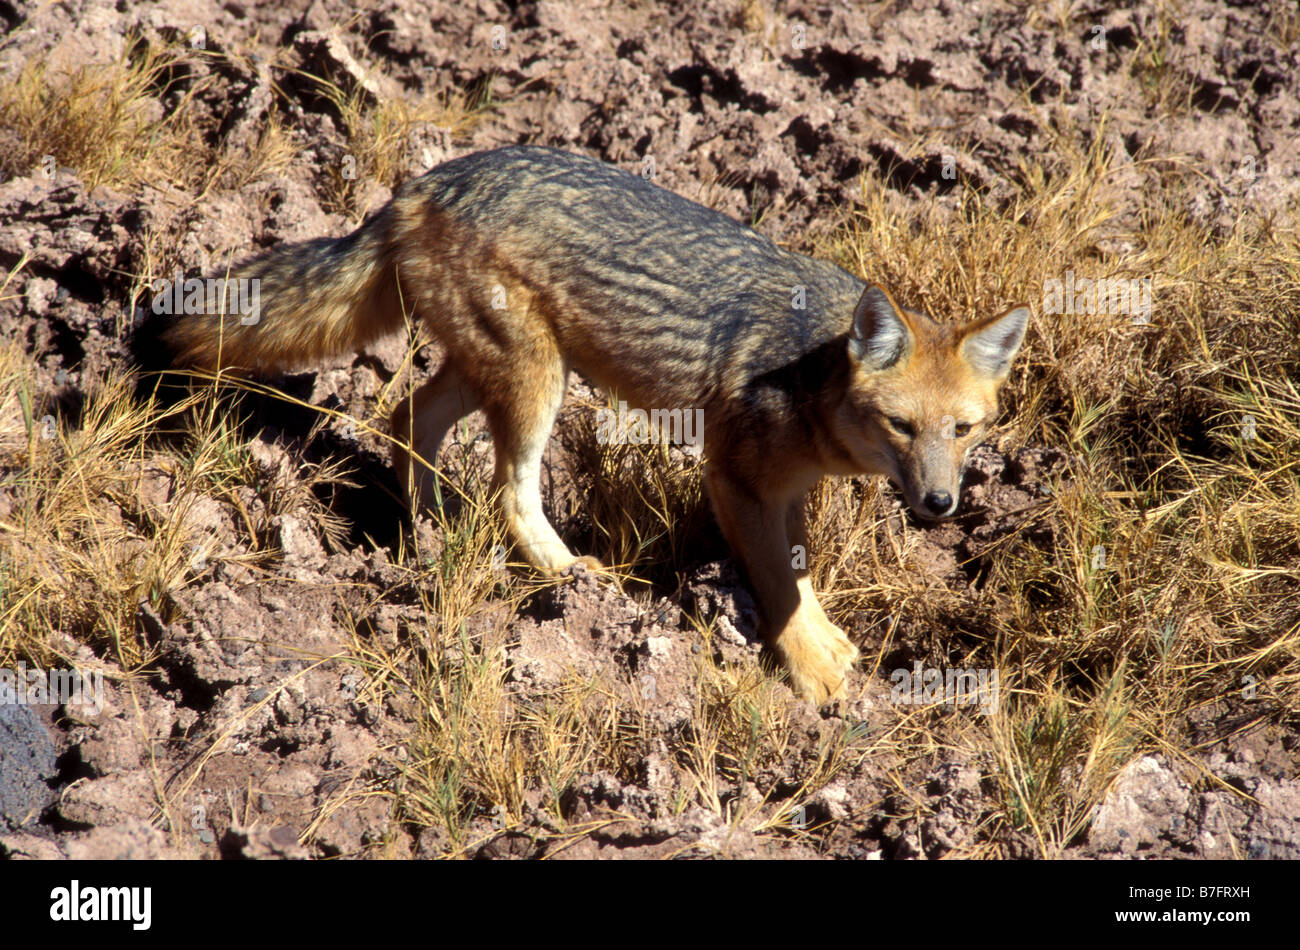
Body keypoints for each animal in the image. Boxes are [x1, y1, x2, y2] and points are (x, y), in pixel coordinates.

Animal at [152, 145, 1029, 704]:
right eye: (900, 426)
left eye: (964, 432)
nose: (942, 505)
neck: (809, 371)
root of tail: (422, 184)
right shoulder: (734, 478)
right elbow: (778, 585)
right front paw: (813, 671)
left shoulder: (786, 492)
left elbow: (799, 570)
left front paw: (824, 642)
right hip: (536, 383)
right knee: (507, 490)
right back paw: (565, 573)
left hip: (498, 371)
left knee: (405, 421)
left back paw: (431, 533)